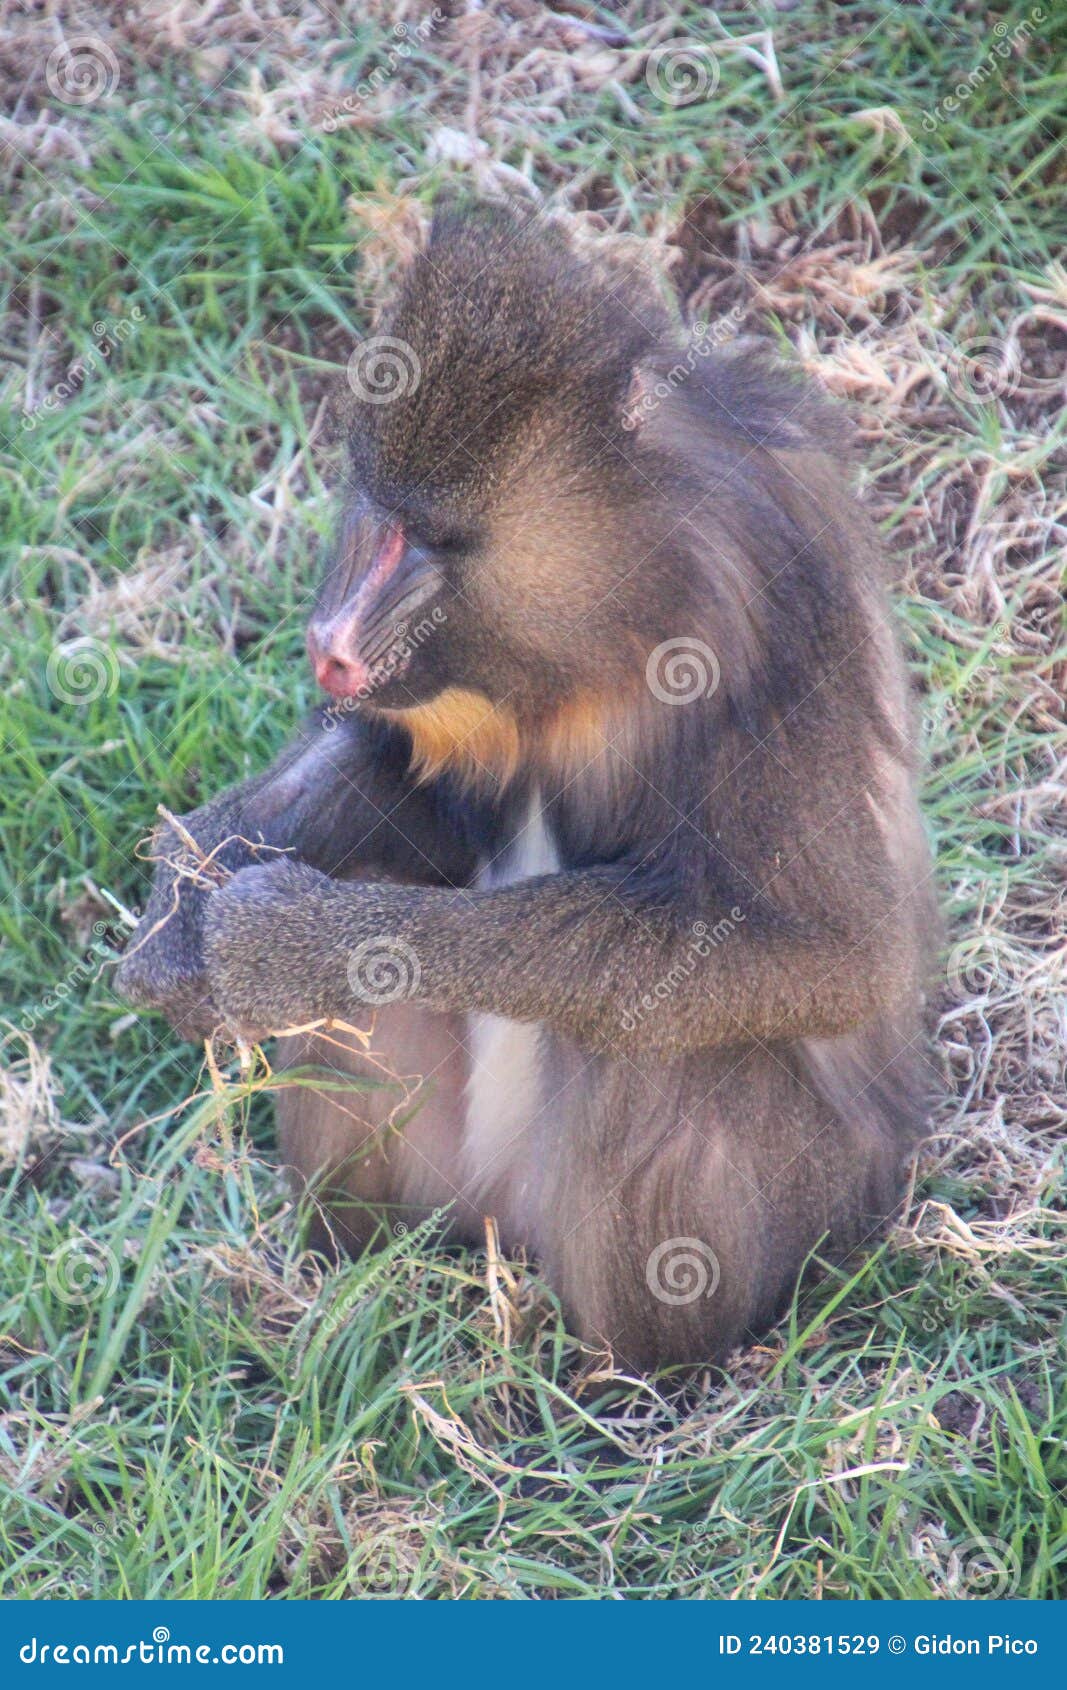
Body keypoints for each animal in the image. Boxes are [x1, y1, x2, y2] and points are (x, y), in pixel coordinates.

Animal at [116, 196, 937, 1372]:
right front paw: (194, 885)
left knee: (649, 1031)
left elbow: (830, 956)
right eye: (379, 512)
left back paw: (626, 1379)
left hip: (792, 1220)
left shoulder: (777, 607)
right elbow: (416, 787)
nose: (330, 647)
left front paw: (289, 943)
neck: (622, 606)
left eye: (438, 539)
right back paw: (359, 1278)